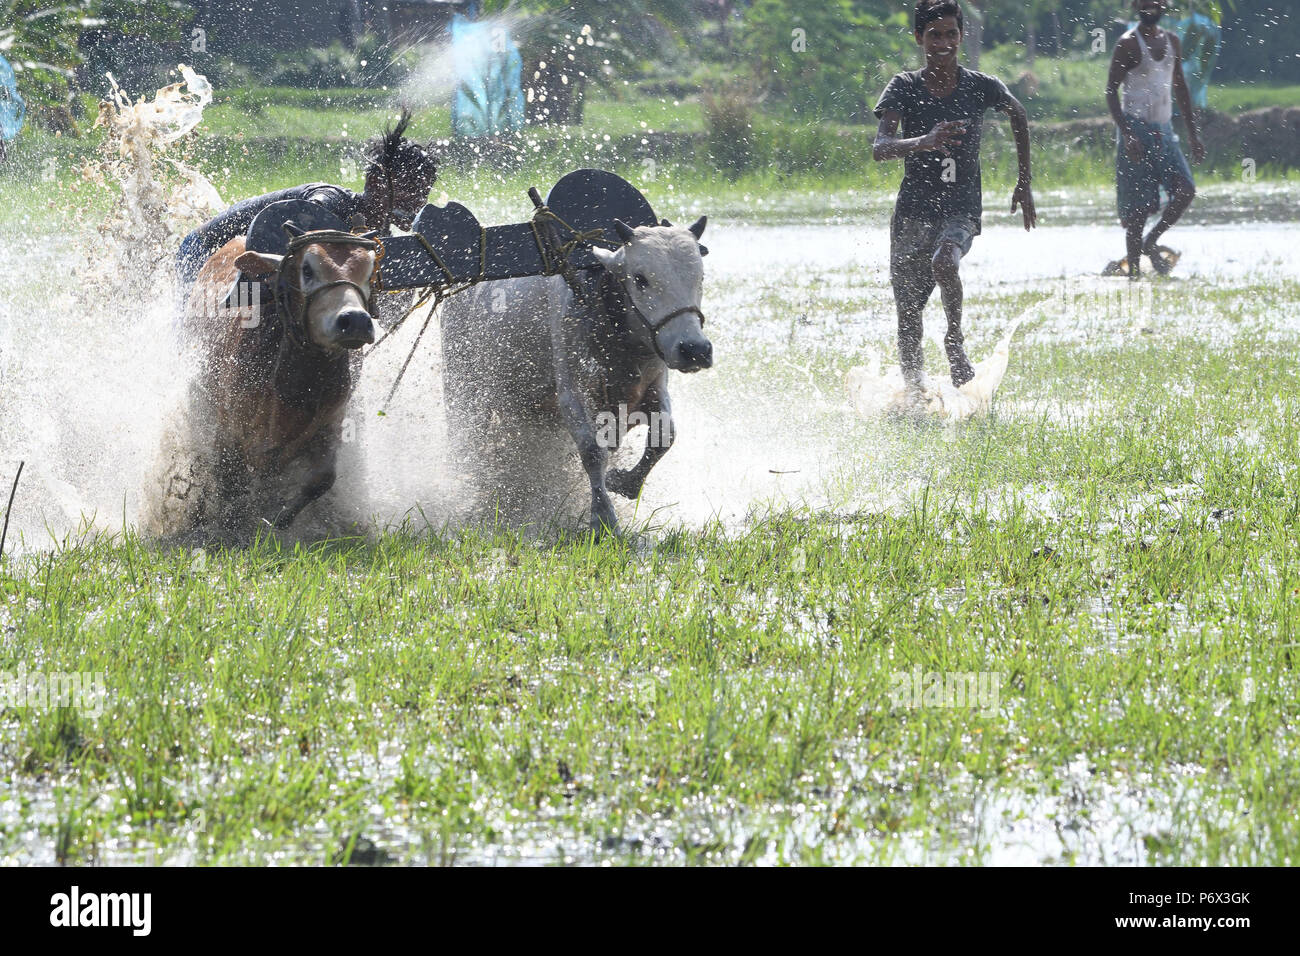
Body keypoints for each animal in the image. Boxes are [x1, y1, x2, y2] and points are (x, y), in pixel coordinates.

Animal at [142, 221, 379, 542]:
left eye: (369, 271)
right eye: (307, 269)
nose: (354, 320)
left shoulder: (331, 425)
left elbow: (321, 479)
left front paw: (279, 519)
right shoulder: (228, 433)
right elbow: (230, 485)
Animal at [439, 215, 712, 535]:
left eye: (700, 277)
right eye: (640, 278)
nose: (695, 349)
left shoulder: (654, 389)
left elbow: (664, 437)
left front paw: (624, 482)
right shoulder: (572, 394)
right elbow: (593, 451)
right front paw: (603, 518)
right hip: (463, 391)